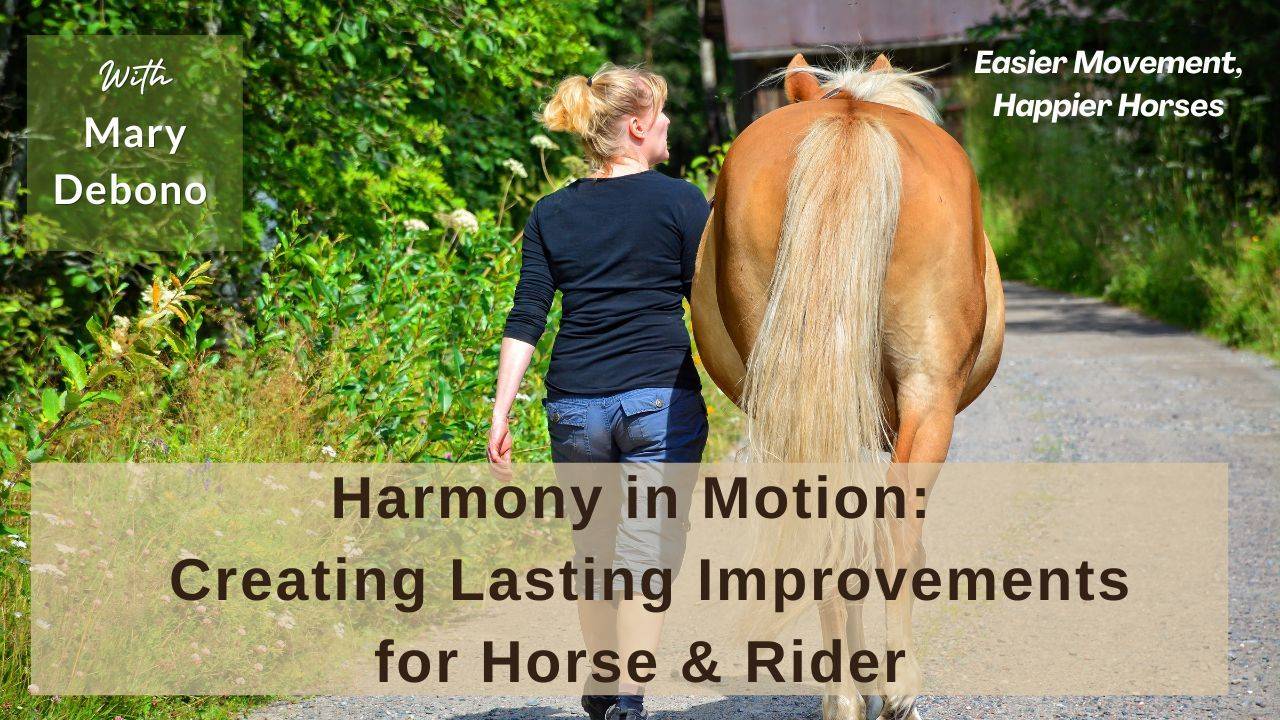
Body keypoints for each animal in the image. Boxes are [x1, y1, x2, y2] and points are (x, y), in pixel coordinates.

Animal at [691, 52, 1005, 719]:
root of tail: (850, 121)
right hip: (928, 399)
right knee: (896, 533)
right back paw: (899, 690)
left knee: (827, 539)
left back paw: (843, 698)